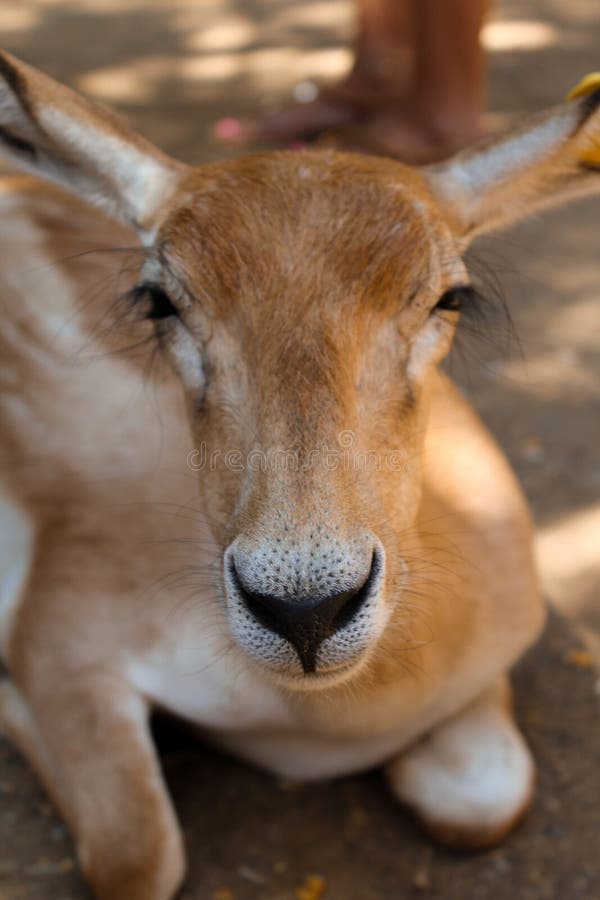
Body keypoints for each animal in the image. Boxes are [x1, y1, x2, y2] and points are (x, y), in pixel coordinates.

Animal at [0, 50, 598, 900]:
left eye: (450, 295)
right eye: (159, 300)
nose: (307, 610)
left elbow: (483, 799)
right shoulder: (62, 631)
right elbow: (137, 857)